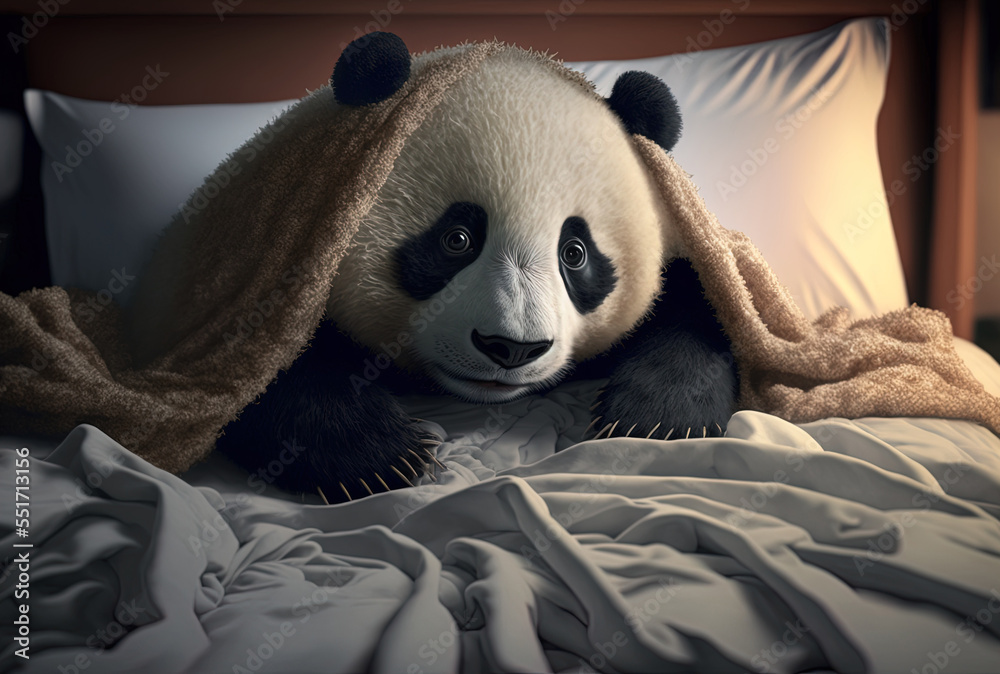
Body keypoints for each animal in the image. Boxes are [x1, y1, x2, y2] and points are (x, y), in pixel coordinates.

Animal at [137, 33, 738, 503]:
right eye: (457, 239)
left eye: (575, 252)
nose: (511, 348)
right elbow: (260, 369)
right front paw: (383, 456)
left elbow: (703, 305)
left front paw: (656, 418)